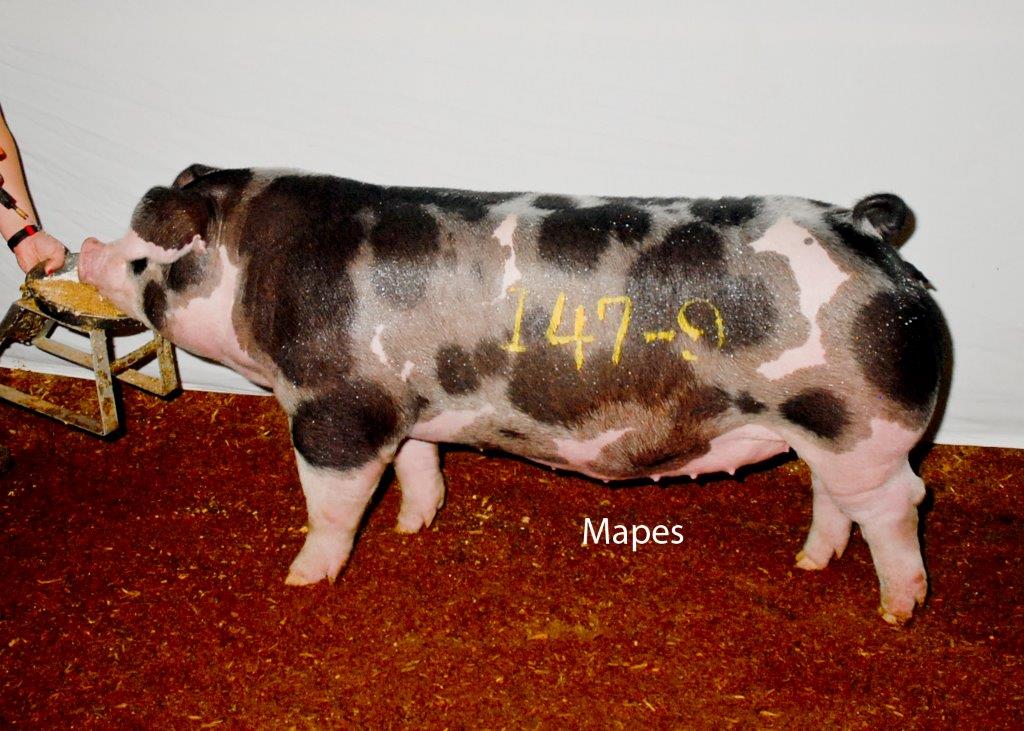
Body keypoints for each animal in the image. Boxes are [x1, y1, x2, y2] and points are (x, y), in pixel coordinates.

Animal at [78, 165, 948, 623]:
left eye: (141, 257)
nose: (84, 248)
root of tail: (871, 234)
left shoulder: (337, 409)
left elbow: (332, 504)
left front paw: (300, 579)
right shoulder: (410, 405)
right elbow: (420, 464)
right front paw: (414, 527)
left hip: (860, 426)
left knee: (900, 504)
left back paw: (896, 609)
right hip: (828, 433)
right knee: (836, 502)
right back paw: (809, 563)